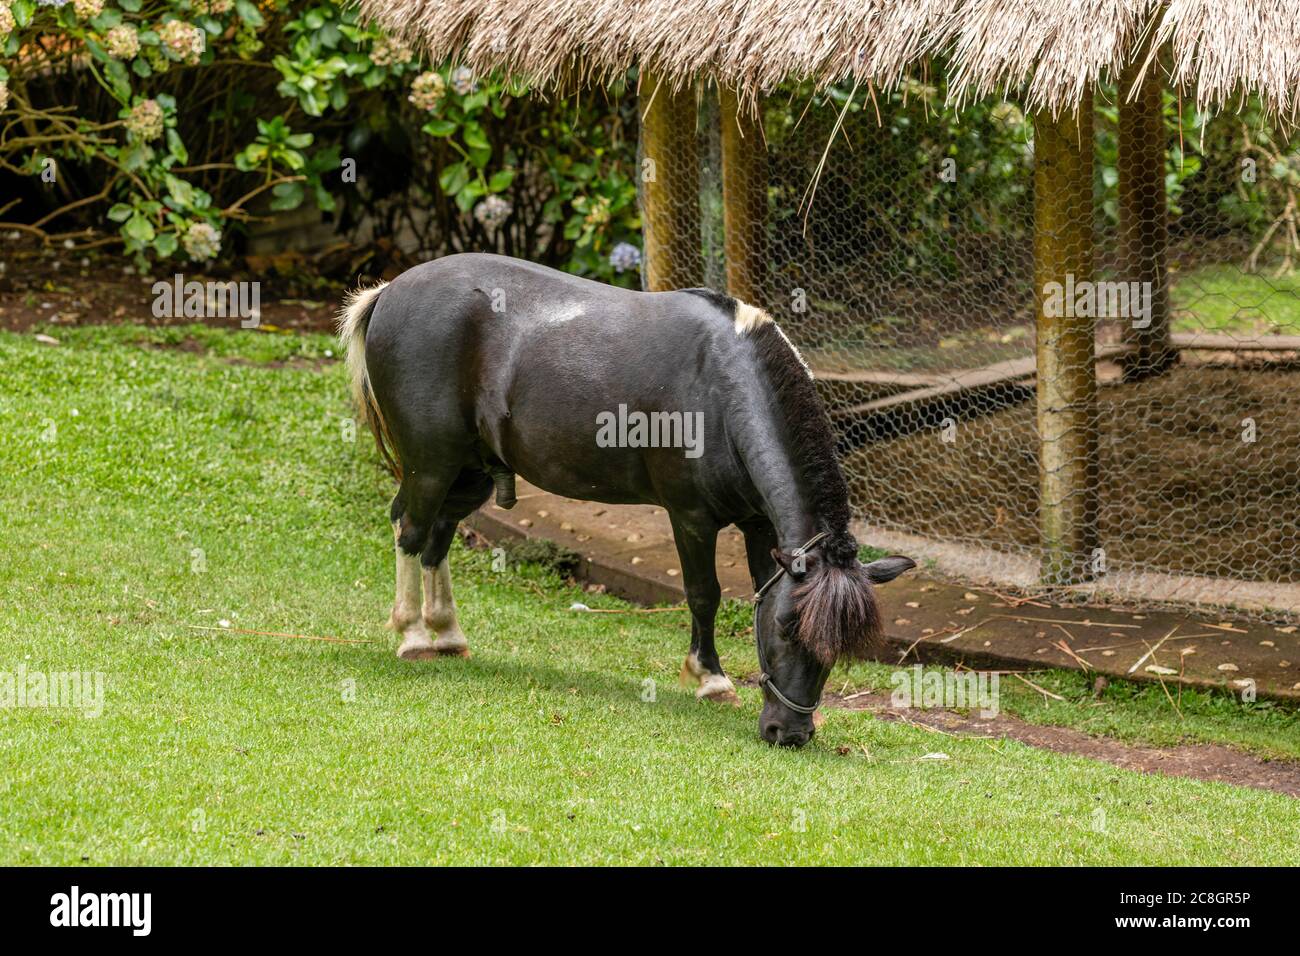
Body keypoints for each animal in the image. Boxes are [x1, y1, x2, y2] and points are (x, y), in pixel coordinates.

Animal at [339, 253, 915, 746]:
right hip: (432, 465)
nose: (788, 733)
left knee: (437, 537)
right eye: (785, 627)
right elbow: (703, 594)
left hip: (469, 474)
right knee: (410, 530)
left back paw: (447, 634)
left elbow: (756, 588)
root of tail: (389, 291)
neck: (719, 387)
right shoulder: (690, 518)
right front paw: (710, 678)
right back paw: (414, 636)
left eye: (836, 647)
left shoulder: (760, 525)